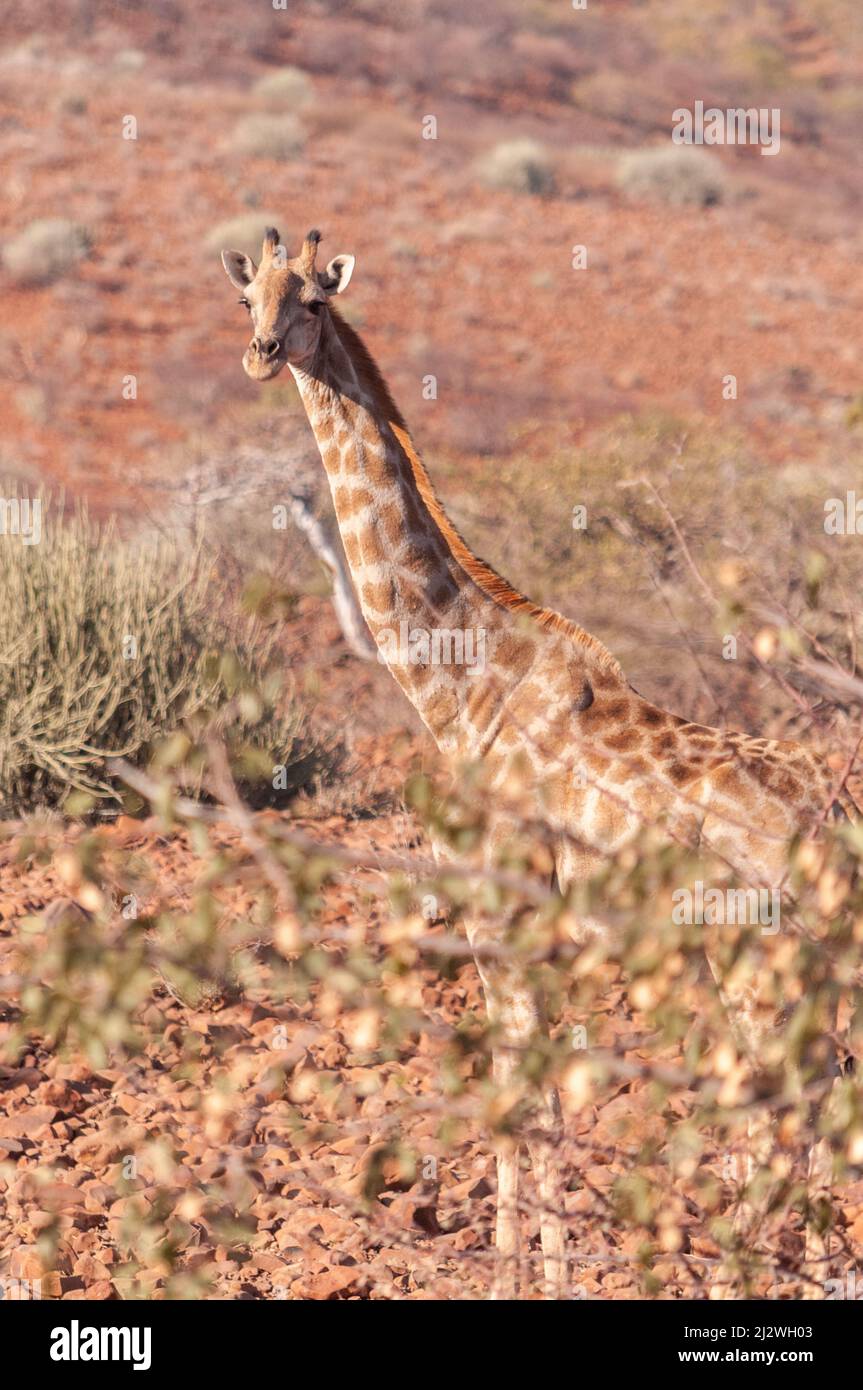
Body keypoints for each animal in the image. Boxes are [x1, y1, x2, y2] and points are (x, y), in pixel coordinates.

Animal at [221, 228, 857, 1299]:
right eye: (247, 297)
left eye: (313, 300)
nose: (263, 352)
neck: (456, 678)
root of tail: (837, 816)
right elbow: (538, 1095)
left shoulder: (504, 911)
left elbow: (525, 1097)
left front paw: (522, 1280)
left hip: (755, 968)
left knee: (787, 1121)